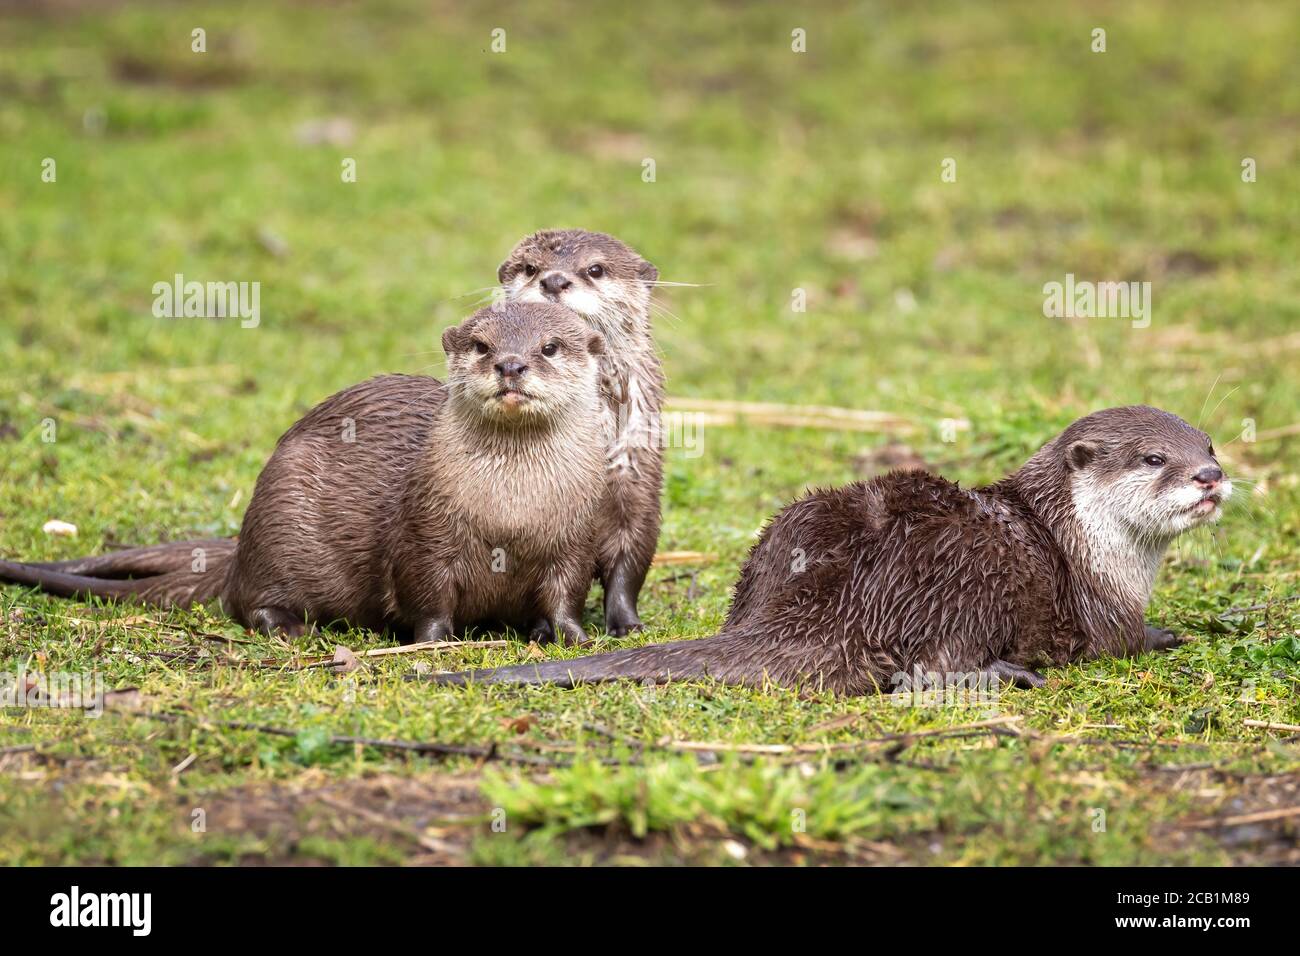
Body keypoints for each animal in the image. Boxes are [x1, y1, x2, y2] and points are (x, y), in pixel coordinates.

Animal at [0, 303, 610, 645]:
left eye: (550, 346)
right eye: (482, 345)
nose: (511, 364)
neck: (510, 512)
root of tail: (239, 551)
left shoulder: (575, 539)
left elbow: (564, 594)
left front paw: (573, 636)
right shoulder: (424, 539)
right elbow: (428, 599)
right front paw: (435, 642)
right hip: (280, 516)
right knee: (247, 603)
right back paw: (295, 627)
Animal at [425, 406, 1232, 692]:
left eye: (1210, 443)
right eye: (1155, 458)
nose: (1211, 476)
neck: (1085, 543)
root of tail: (837, 601)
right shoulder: (1101, 607)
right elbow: (1120, 639)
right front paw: (1167, 633)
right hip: (968, 580)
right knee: (922, 671)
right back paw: (1004, 673)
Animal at [498, 229, 663, 636]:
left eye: (595, 269)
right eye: (530, 268)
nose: (554, 280)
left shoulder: (637, 489)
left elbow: (629, 565)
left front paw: (627, 623)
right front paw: (544, 629)